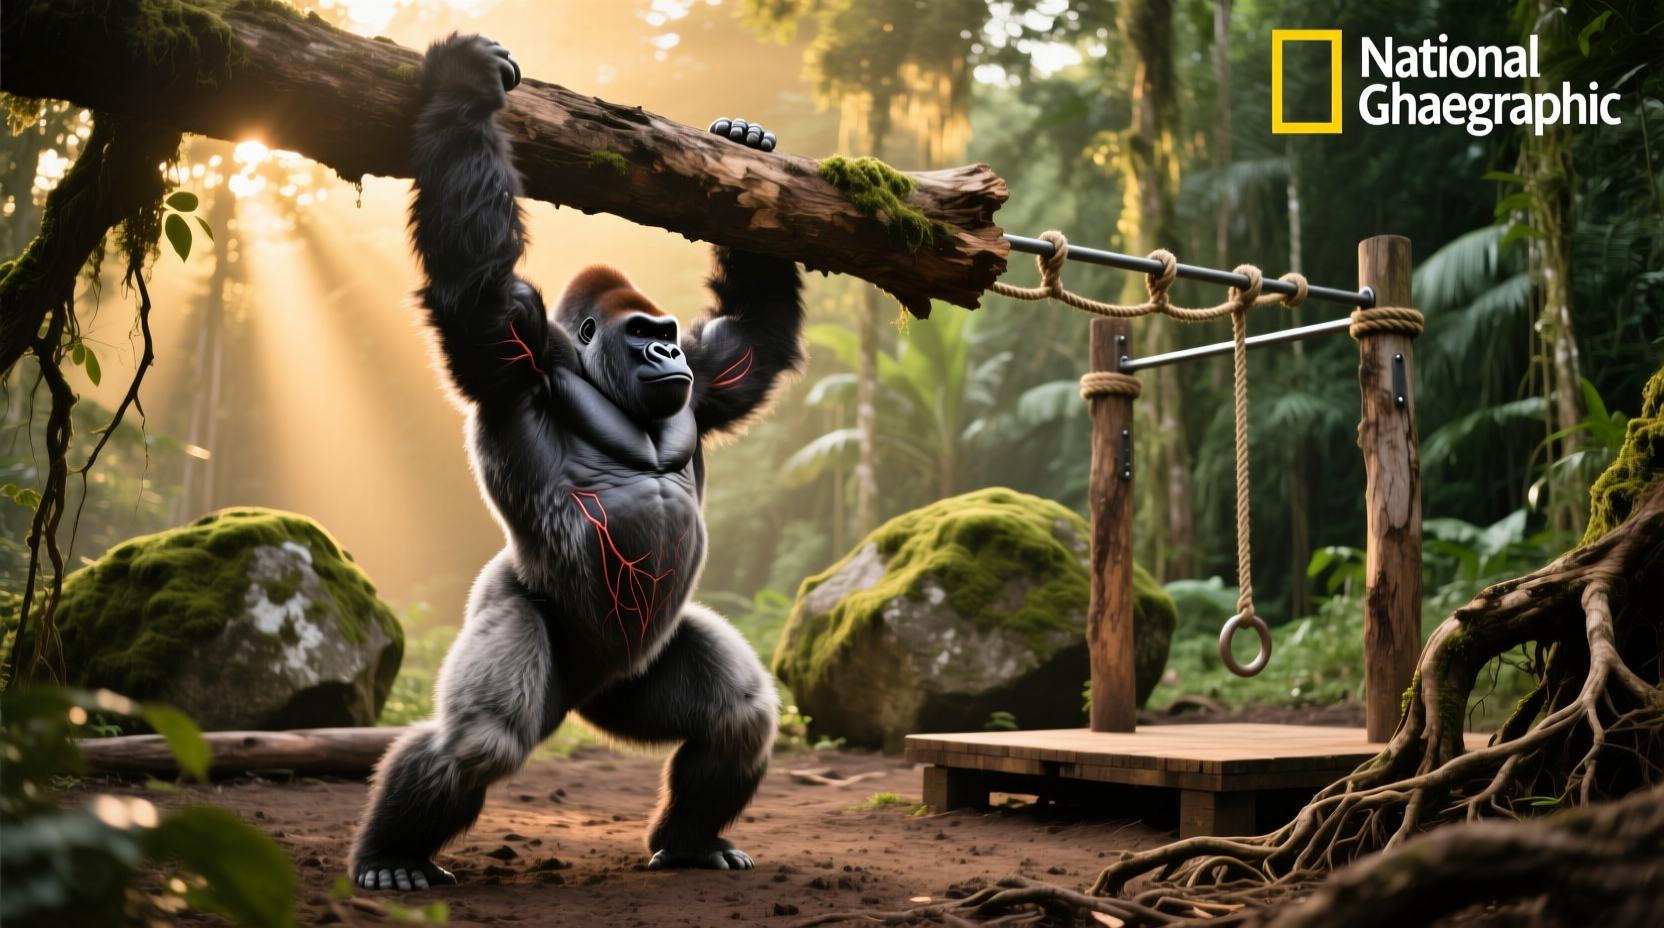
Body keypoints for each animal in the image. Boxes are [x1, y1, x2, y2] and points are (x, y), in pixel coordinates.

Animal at [349, 34, 805, 891]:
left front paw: (746, 143)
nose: (664, 355)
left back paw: (689, 838)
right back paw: (391, 854)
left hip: (632, 683)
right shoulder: (515, 342)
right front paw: (464, 83)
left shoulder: (707, 376)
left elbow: (754, 335)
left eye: (668, 335)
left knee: (738, 717)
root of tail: (583, 697)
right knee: (482, 739)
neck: (603, 379)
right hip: (518, 611)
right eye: (640, 336)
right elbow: (476, 283)